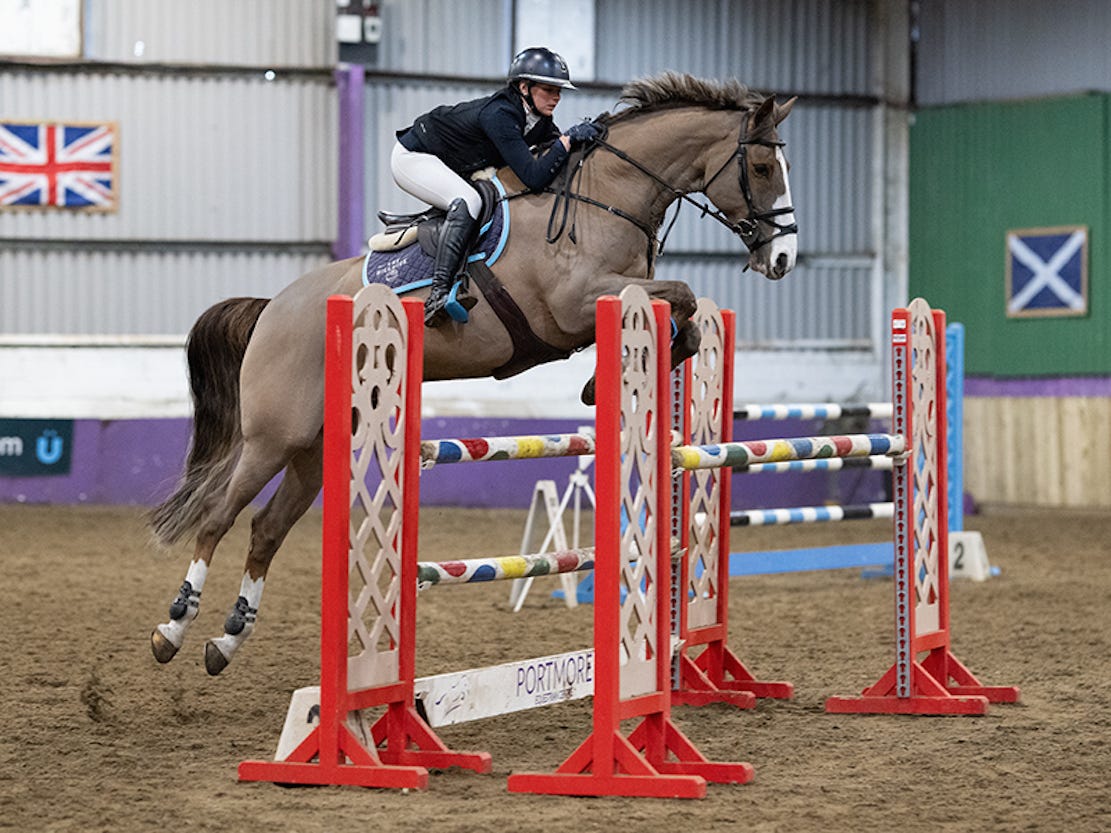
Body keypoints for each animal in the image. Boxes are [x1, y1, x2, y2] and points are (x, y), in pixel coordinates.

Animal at [148, 72, 799, 675]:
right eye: (763, 166)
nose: (783, 258)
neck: (605, 196)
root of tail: (273, 308)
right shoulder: (574, 305)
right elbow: (680, 292)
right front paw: (600, 383)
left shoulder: (616, 298)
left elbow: (686, 316)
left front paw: (603, 383)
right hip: (272, 438)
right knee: (219, 517)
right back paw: (173, 628)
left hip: (316, 446)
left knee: (266, 528)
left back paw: (226, 641)